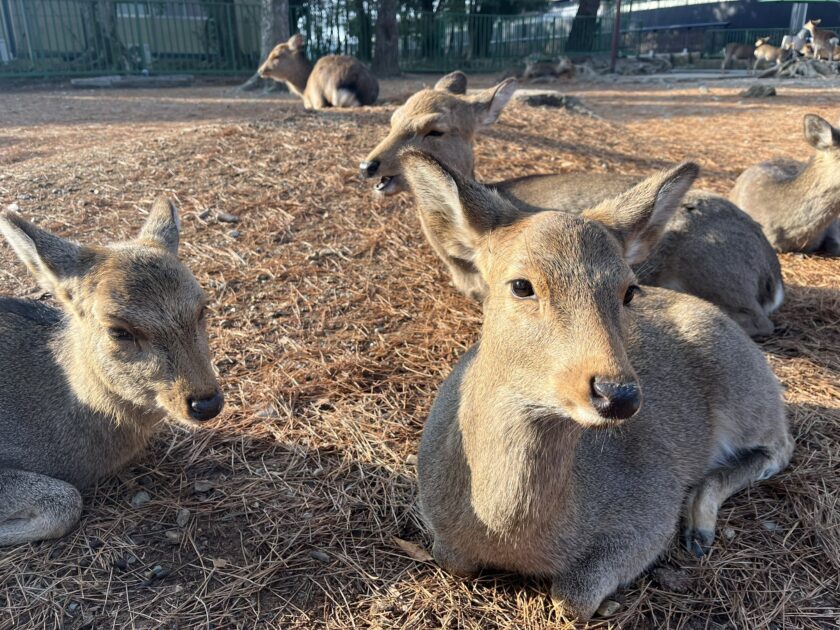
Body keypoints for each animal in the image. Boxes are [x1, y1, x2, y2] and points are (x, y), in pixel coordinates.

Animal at [360, 73, 784, 337]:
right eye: (393, 119)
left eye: (435, 129)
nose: (369, 165)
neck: (458, 260)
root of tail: (771, 273)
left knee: (755, 321)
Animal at [404, 151, 793, 624]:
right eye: (521, 285)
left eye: (629, 290)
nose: (617, 395)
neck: (508, 534)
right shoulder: (438, 531)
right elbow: (452, 561)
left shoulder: (650, 507)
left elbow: (572, 598)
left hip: (746, 389)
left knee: (780, 444)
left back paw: (698, 527)